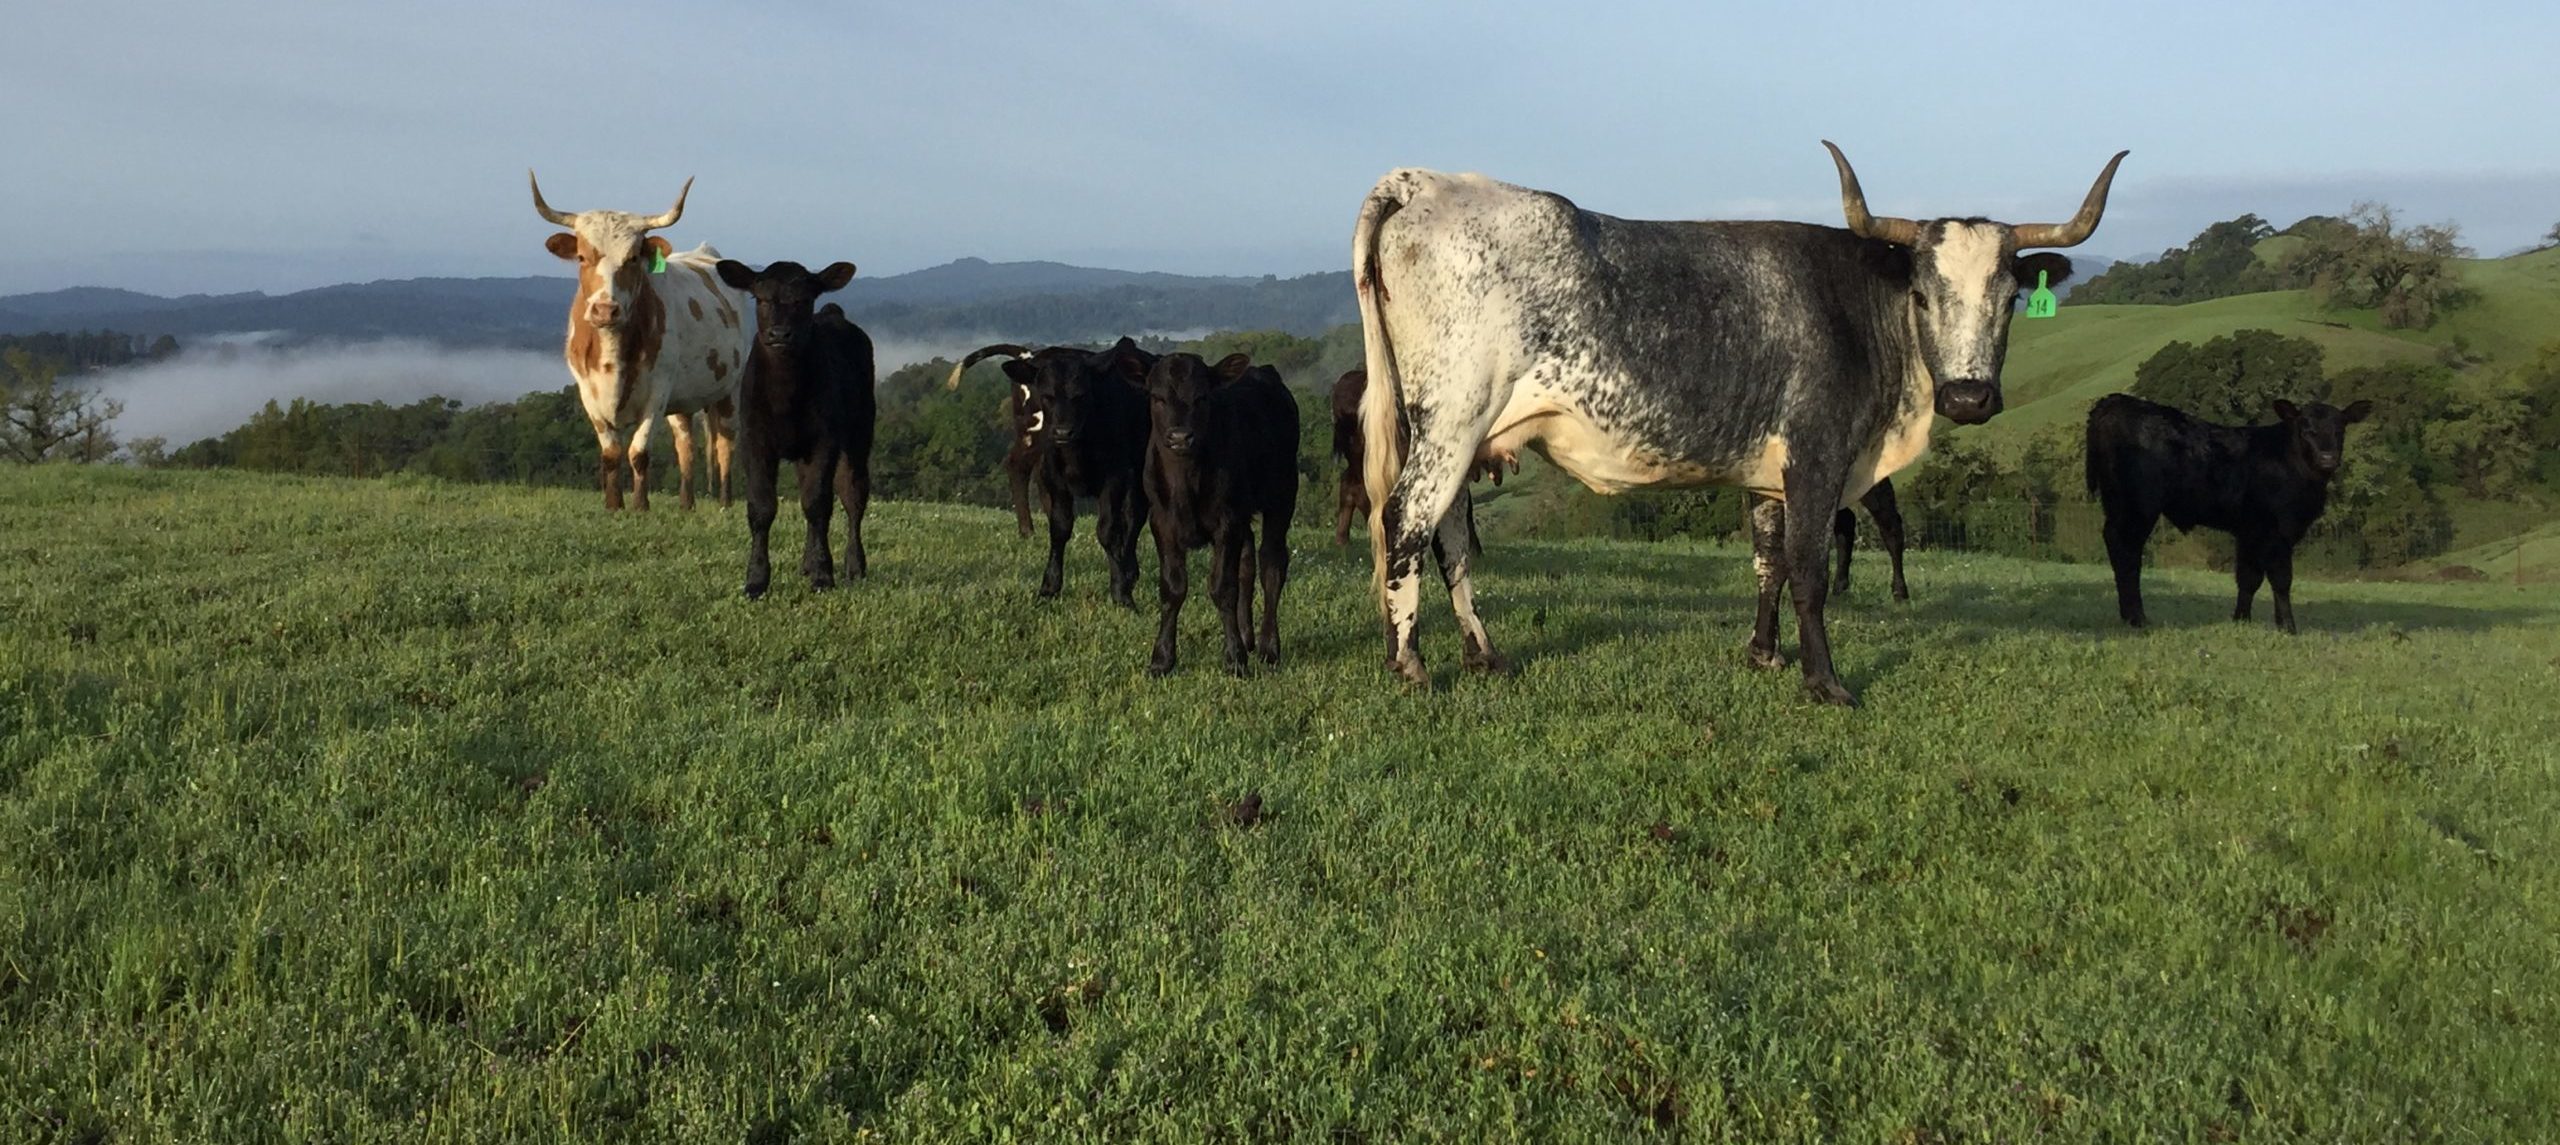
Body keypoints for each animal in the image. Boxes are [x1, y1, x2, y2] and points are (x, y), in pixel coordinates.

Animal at [530, 172, 746, 511]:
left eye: (632, 258)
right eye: (582, 256)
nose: (605, 309)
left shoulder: (657, 392)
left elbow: (639, 452)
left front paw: (640, 506)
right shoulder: (588, 392)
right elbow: (611, 453)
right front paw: (613, 505)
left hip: (731, 387)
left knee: (725, 443)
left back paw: (725, 502)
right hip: (684, 399)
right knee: (686, 445)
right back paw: (686, 504)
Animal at [712, 260, 877, 599]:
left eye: (804, 300)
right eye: (760, 298)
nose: (779, 333)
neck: (784, 398)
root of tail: (833, 313)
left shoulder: (824, 440)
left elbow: (818, 504)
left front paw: (823, 575)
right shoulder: (754, 440)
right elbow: (762, 507)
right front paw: (756, 581)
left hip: (859, 432)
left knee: (853, 494)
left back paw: (854, 566)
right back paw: (806, 563)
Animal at [1142, 353, 1301, 676]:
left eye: (1202, 397)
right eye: (1157, 397)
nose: (1180, 437)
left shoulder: (1226, 522)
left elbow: (1222, 587)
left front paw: (1235, 659)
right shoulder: (1161, 522)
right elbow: (1172, 587)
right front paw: (1162, 659)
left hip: (1282, 495)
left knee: (1272, 565)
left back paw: (1268, 647)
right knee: (1248, 562)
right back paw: (1247, 636)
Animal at [1352, 142, 2125, 703]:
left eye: (2011, 295)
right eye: (1924, 296)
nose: (1968, 396)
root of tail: (1426, 181)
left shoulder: (1769, 468)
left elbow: (1768, 561)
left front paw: (1764, 653)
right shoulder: (1817, 454)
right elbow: (1810, 568)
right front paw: (1826, 682)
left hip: (1461, 432)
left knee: (1451, 537)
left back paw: (1483, 654)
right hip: (1454, 417)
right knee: (1408, 520)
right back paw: (1409, 663)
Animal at [2084, 393, 2370, 633]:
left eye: (2340, 428)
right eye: (2306, 429)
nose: (2327, 458)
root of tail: (2116, 401)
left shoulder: (2249, 531)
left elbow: (2248, 578)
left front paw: (2241, 619)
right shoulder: (2277, 532)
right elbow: (2281, 579)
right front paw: (2288, 627)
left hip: (2118, 503)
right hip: (2139, 506)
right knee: (2127, 552)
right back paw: (2137, 617)